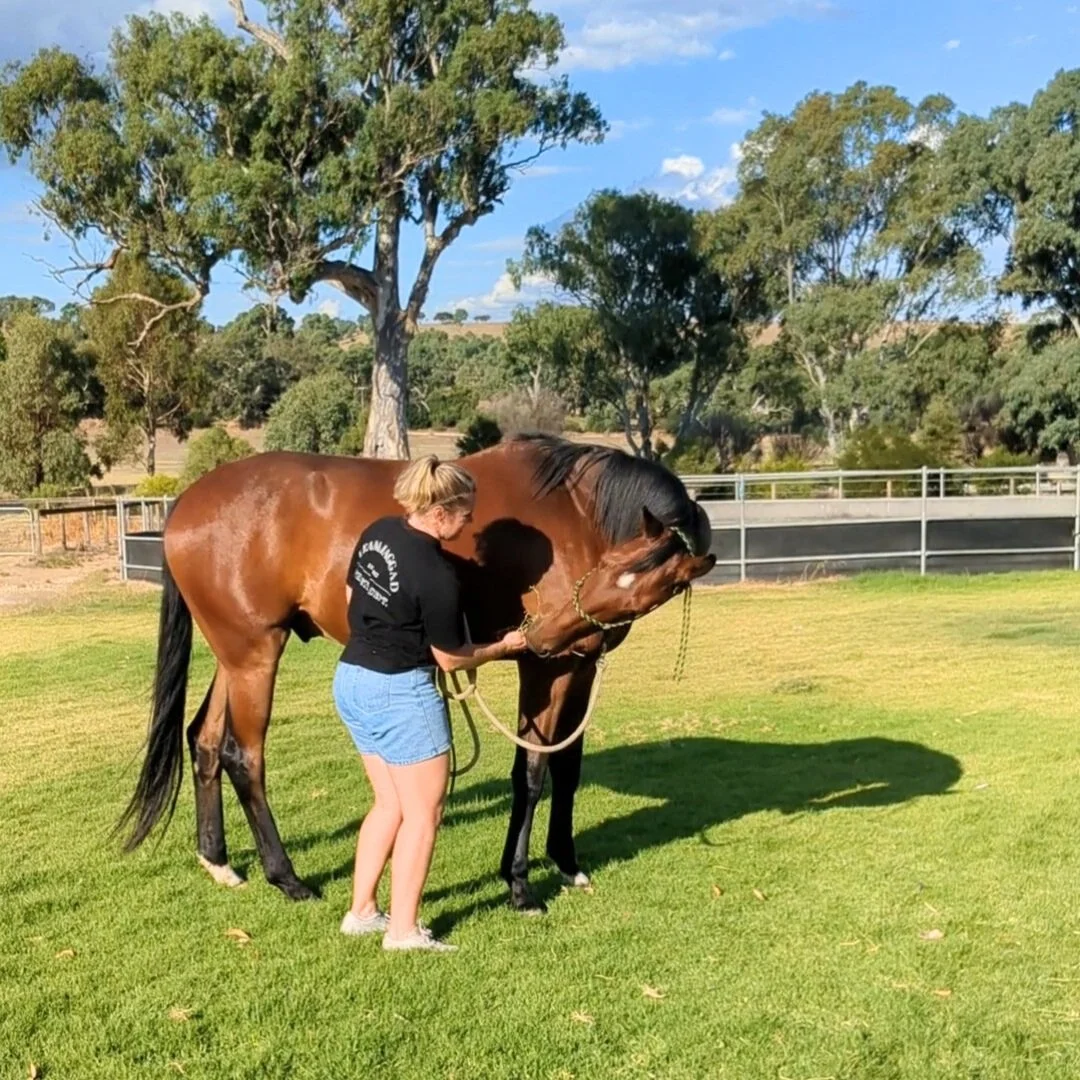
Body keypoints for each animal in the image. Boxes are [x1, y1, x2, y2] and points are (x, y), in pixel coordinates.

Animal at [119, 435, 717, 912]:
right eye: (615, 569)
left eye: (644, 582)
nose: (544, 632)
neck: (579, 513)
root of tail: (186, 504)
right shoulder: (547, 671)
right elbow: (531, 773)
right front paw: (519, 883)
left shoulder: (581, 664)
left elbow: (566, 767)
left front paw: (567, 863)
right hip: (256, 655)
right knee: (244, 758)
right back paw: (287, 878)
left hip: (234, 656)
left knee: (205, 742)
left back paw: (218, 861)